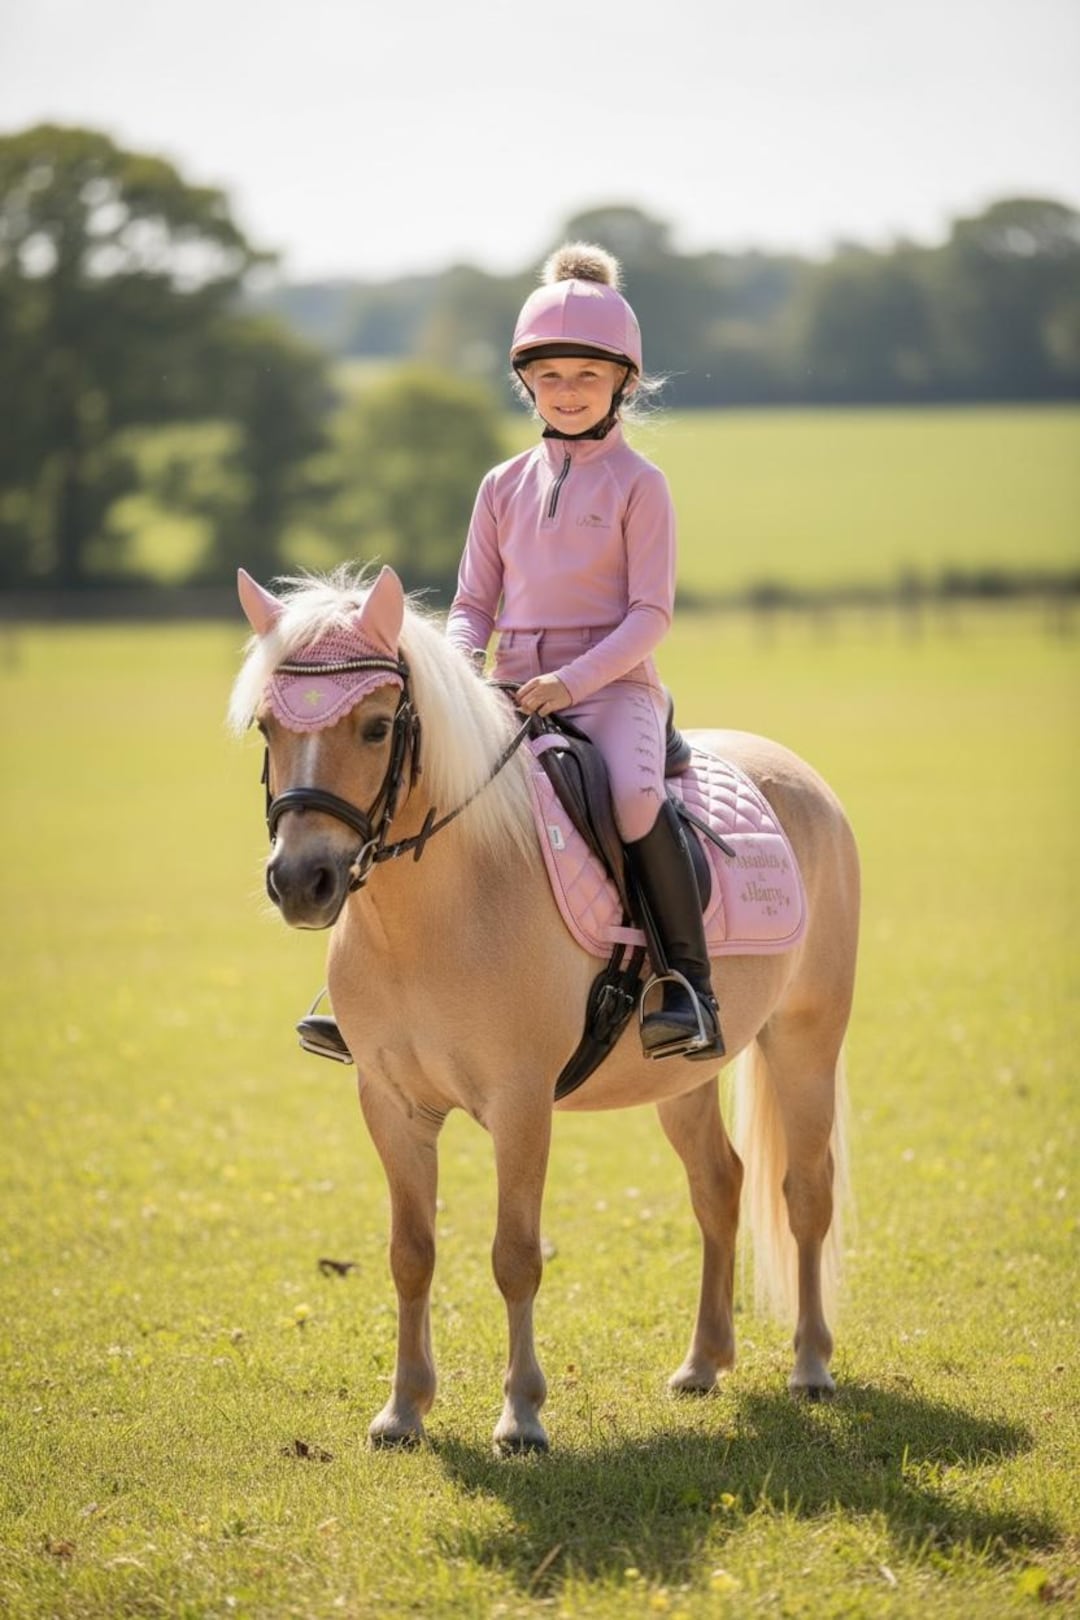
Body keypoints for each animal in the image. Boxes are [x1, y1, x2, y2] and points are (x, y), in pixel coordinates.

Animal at [229, 563, 860, 1452]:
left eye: (378, 726)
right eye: (266, 726)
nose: (301, 882)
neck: (442, 907)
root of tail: (796, 774)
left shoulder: (521, 1105)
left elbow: (515, 1255)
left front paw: (522, 1413)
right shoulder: (391, 1104)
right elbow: (410, 1252)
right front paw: (403, 1410)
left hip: (805, 1040)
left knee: (805, 1193)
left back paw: (809, 1364)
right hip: (682, 1077)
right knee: (720, 1185)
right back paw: (703, 1364)